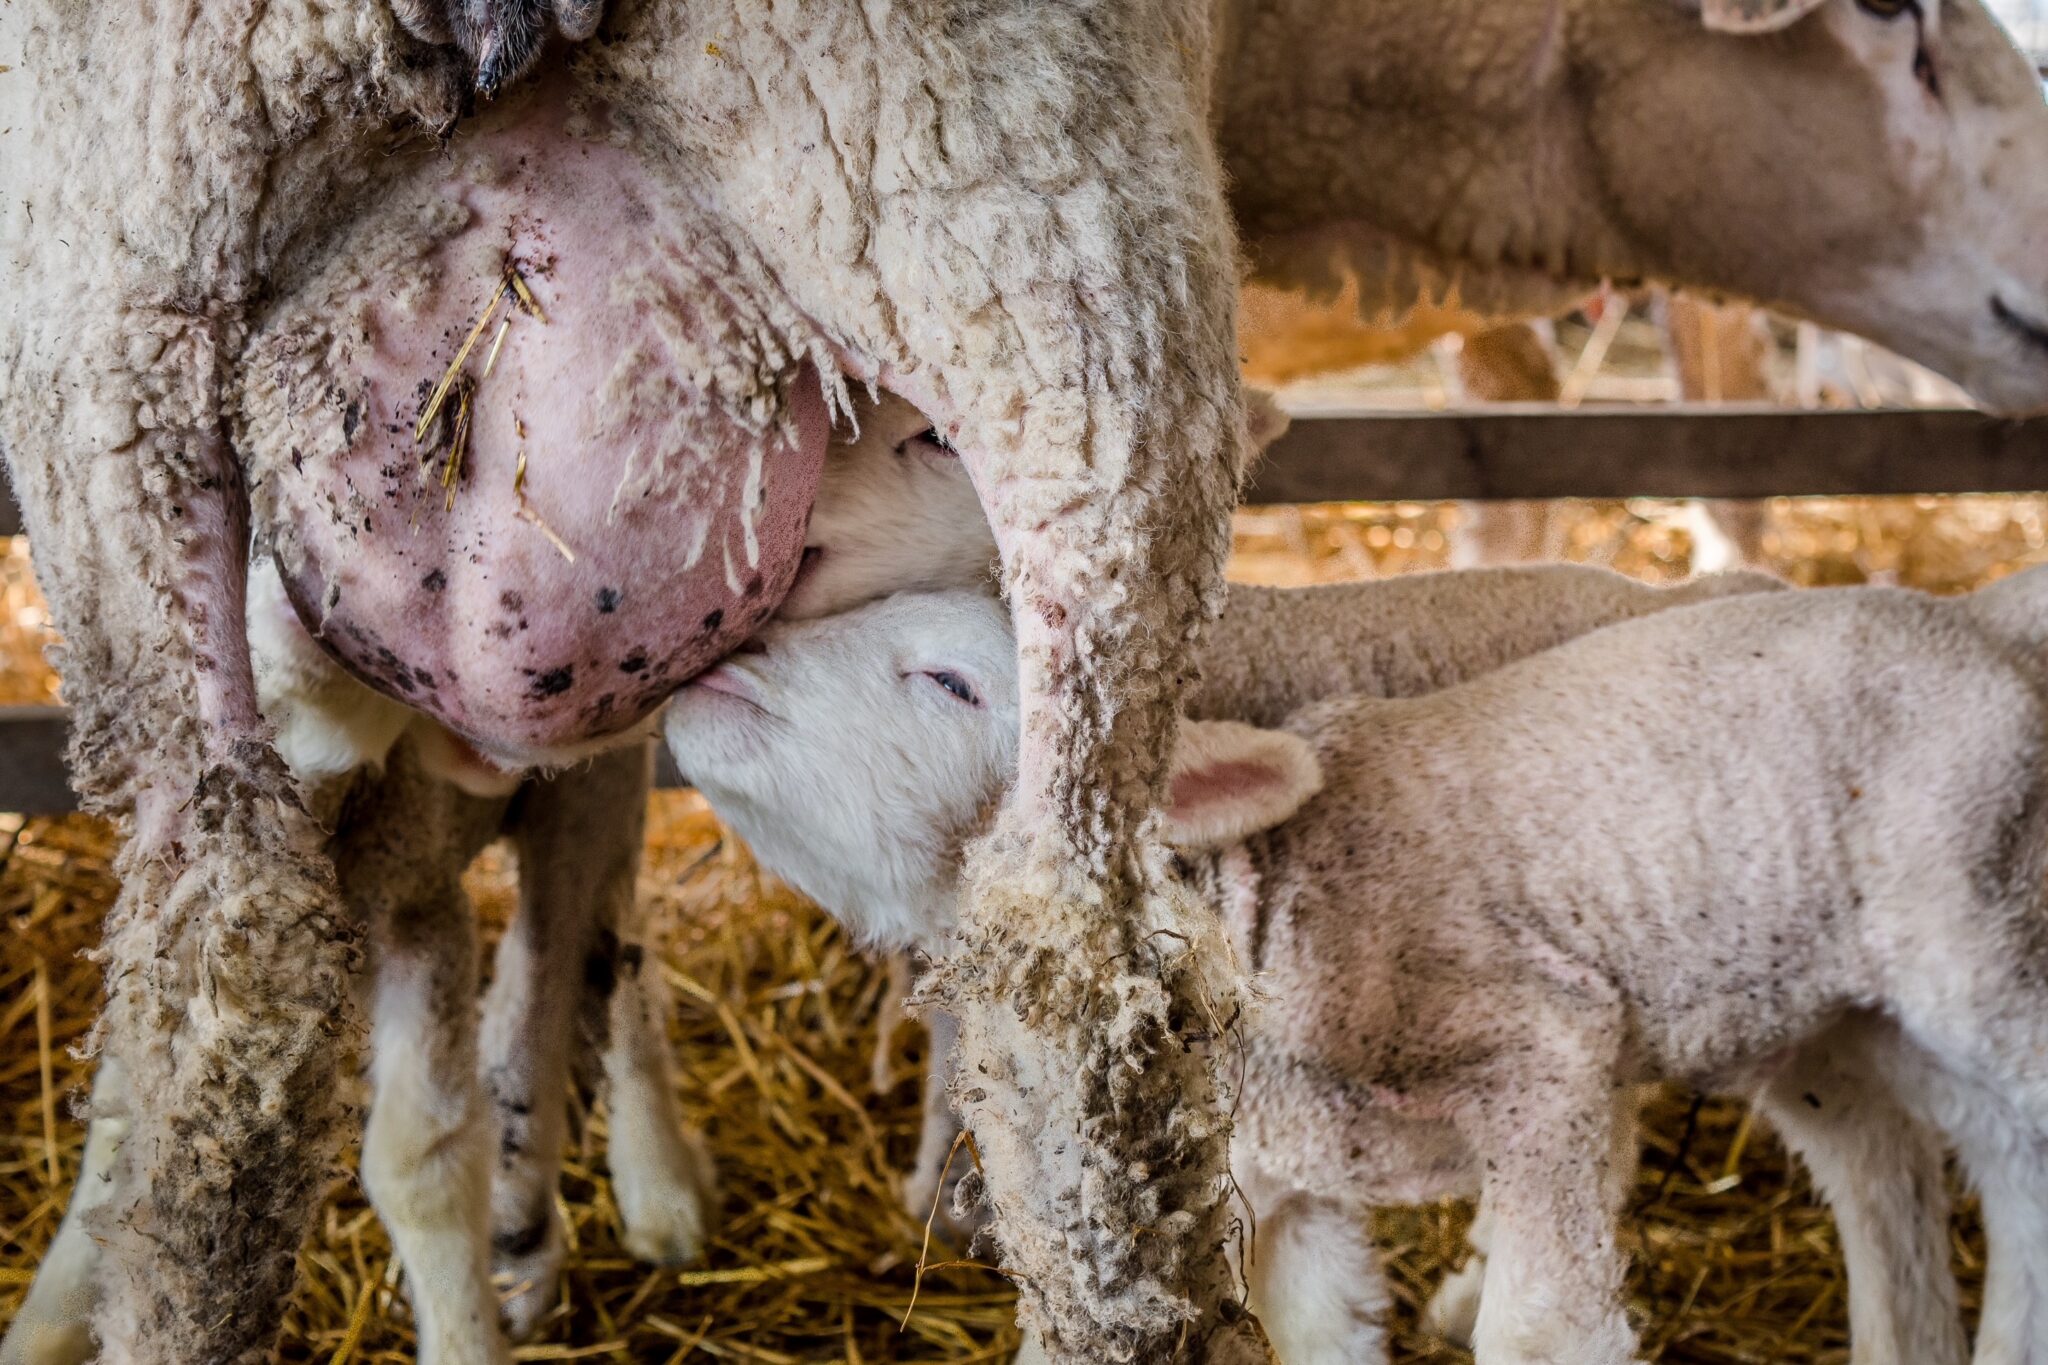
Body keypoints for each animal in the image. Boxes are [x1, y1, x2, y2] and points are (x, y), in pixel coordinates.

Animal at [664, 577, 2048, 1365]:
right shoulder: (1281, 1184)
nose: (709, 671)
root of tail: (1982, 624)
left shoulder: (1538, 1051)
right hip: (1820, 1008)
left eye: (949, 681)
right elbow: (1315, 1334)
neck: (1245, 922)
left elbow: (1543, 1327)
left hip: (1979, 937)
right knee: (1900, 1155)